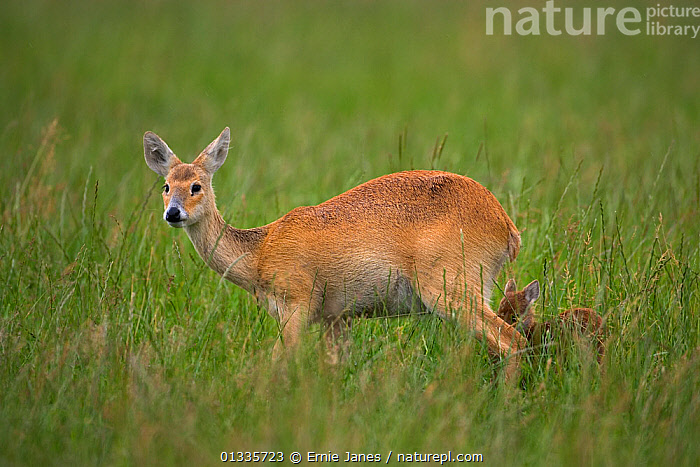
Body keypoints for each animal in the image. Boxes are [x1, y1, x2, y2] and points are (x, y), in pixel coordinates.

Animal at [143, 127, 527, 379]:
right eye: (166, 186)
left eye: (197, 186)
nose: (173, 213)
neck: (260, 251)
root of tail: (508, 227)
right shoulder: (336, 317)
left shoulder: (296, 306)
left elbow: (278, 364)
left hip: (449, 288)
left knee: (512, 341)